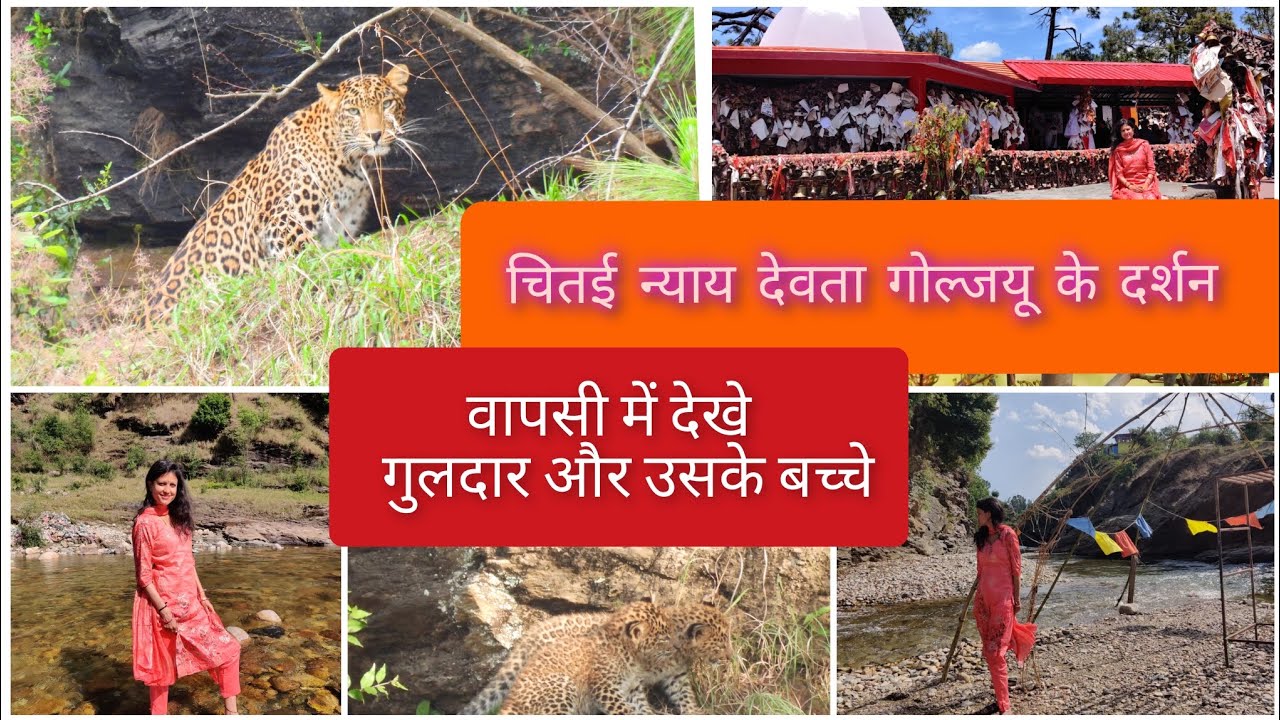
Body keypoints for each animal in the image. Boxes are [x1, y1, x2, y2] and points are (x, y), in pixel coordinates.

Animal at [142, 63, 412, 323]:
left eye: (386, 104)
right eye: (354, 111)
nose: (375, 135)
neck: (352, 162)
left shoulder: (339, 229)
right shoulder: (284, 226)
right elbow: (306, 266)